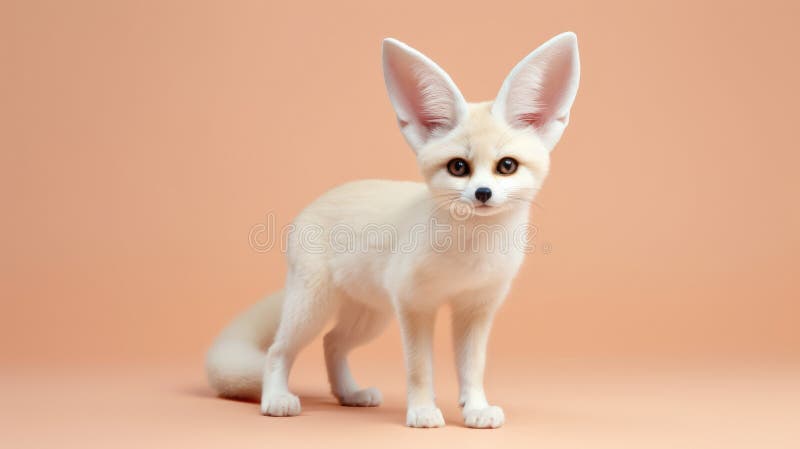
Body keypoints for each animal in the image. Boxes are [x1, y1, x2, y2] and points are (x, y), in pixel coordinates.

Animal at [206, 33, 580, 428]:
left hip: (370, 316)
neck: (471, 252)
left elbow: (472, 368)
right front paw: (422, 410)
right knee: (279, 350)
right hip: (315, 307)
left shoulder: (476, 309)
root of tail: (323, 197)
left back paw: (349, 394)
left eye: (506, 166)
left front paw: (476, 409)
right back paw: (276, 399)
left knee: (332, 342)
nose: (482, 193)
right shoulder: (414, 305)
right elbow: (419, 369)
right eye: (458, 167)